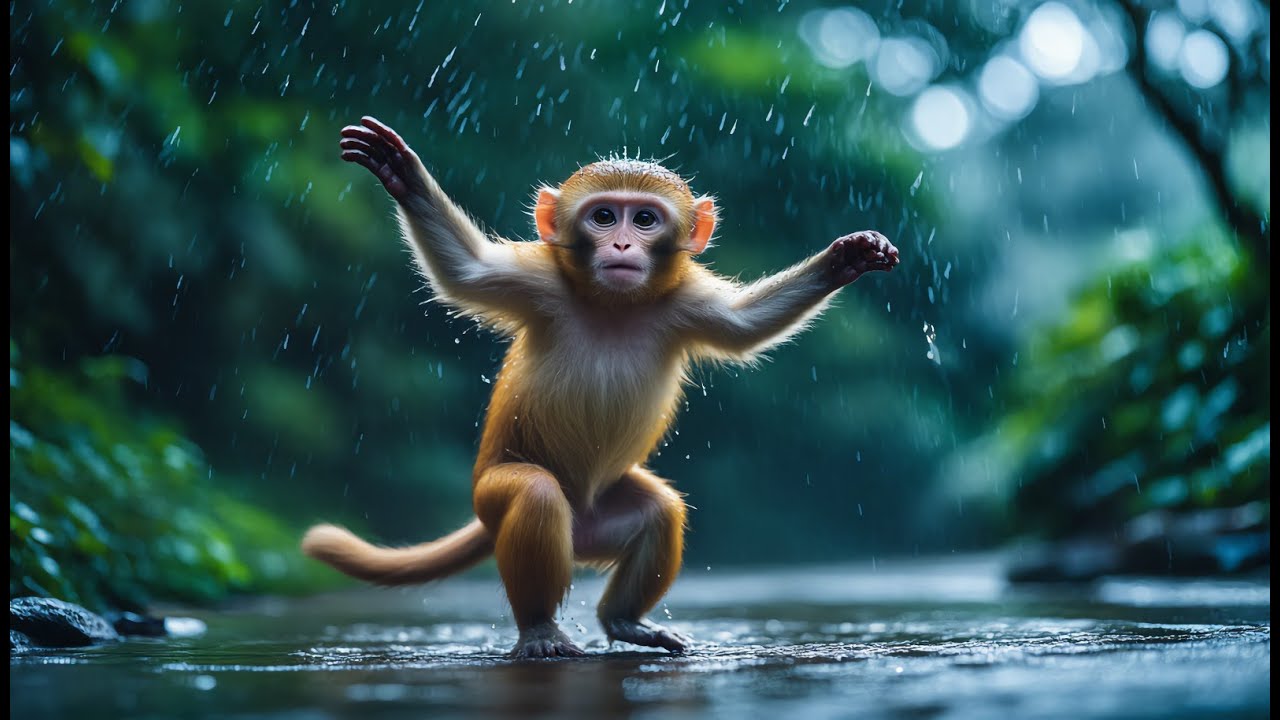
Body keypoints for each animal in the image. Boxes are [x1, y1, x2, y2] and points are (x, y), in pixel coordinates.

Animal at [302, 116, 900, 659]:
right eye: (605, 216)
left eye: (645, 219)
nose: (622, 244)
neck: (614, 305)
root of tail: (582, 525)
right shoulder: (538, 281)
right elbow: (465, 271)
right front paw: (401, 175)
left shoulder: (686, 302)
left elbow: (745, 325)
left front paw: (844, 260)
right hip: (493, 495)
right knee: (535, 495)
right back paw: (540, 628)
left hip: (603, 515)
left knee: (660, 511)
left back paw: (622, 620)